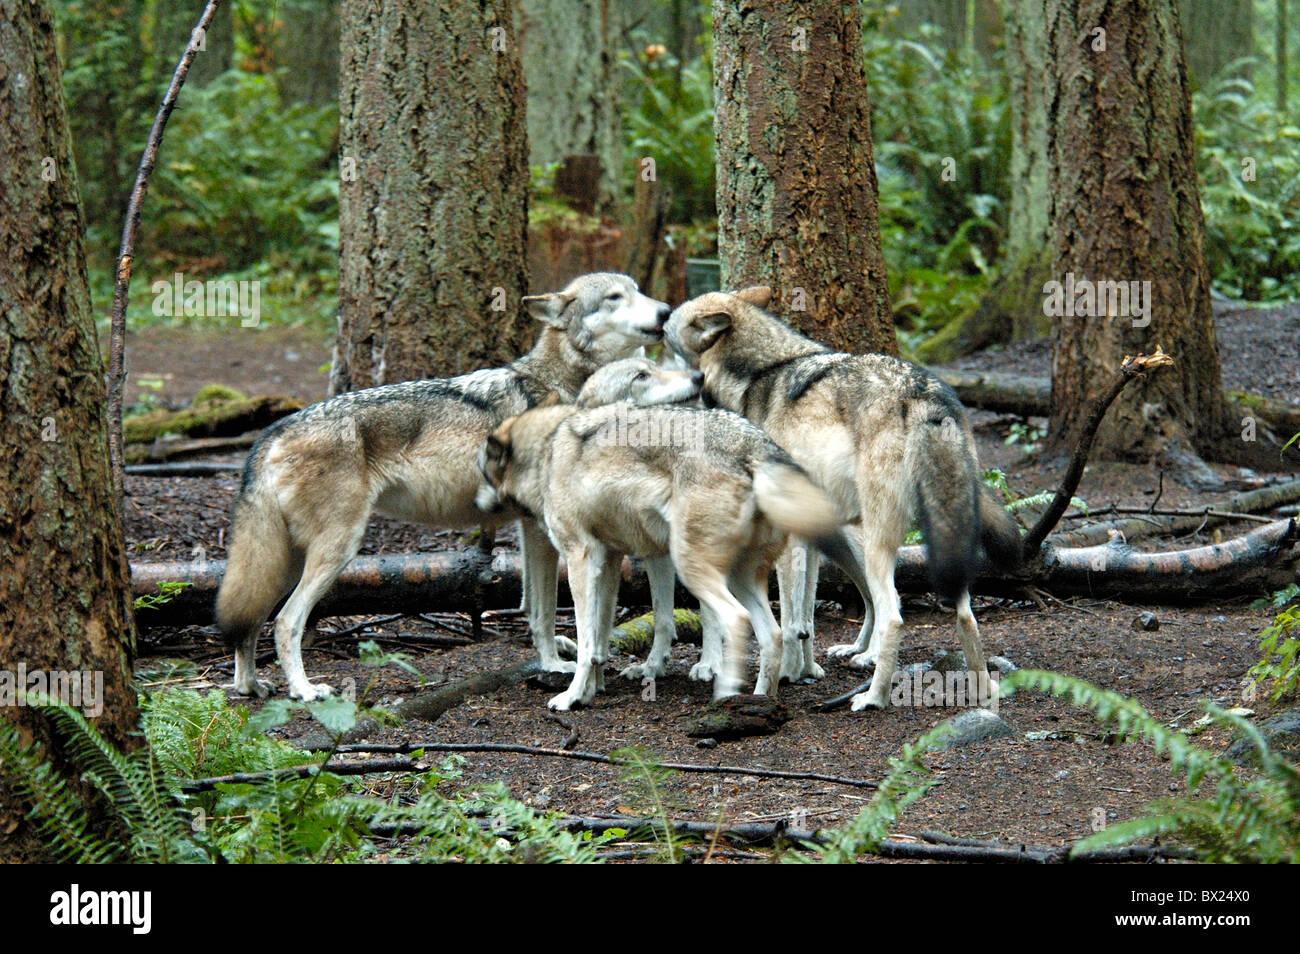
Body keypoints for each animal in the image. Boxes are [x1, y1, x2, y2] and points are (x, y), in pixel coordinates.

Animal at [214, 273, 670, 701]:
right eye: (615, 297)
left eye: (638, 290)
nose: (666, 310)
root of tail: (274, 429)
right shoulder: (545, 530)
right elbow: (546, 610)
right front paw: (556, 666)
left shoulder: (530, 528)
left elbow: (534, 608)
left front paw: (551, 662)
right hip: (336, 550)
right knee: (286, 621)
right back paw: (304, 690)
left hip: (285, 558)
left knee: (250, 620)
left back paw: (249, 685)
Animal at [475, 402, 846, 711]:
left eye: (483, 473)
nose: (478, 507)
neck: (547, 454)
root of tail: (756, 446)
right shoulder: (609, 562)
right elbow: (599, 641)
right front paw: (593, 690)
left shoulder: (580, 558)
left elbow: (585, 644)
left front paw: (571, 697)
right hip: (738, 578)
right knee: (773, 634)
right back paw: (758, 701)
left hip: (692, 567)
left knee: (735, 619)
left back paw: (726, 695)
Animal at [664, 286, 1021, 711]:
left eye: (667, 329)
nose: (659, 315)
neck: (762, 372)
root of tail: (924, 393)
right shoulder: (805, 538)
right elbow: (805, 617)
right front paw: (804, 669)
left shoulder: (789, 542)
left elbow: (790, 621)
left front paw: (786, 675)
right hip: (929, 536)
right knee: (958, 613)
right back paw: (977, 688)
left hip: (873, 541)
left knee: (892, 613)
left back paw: (874, 695)